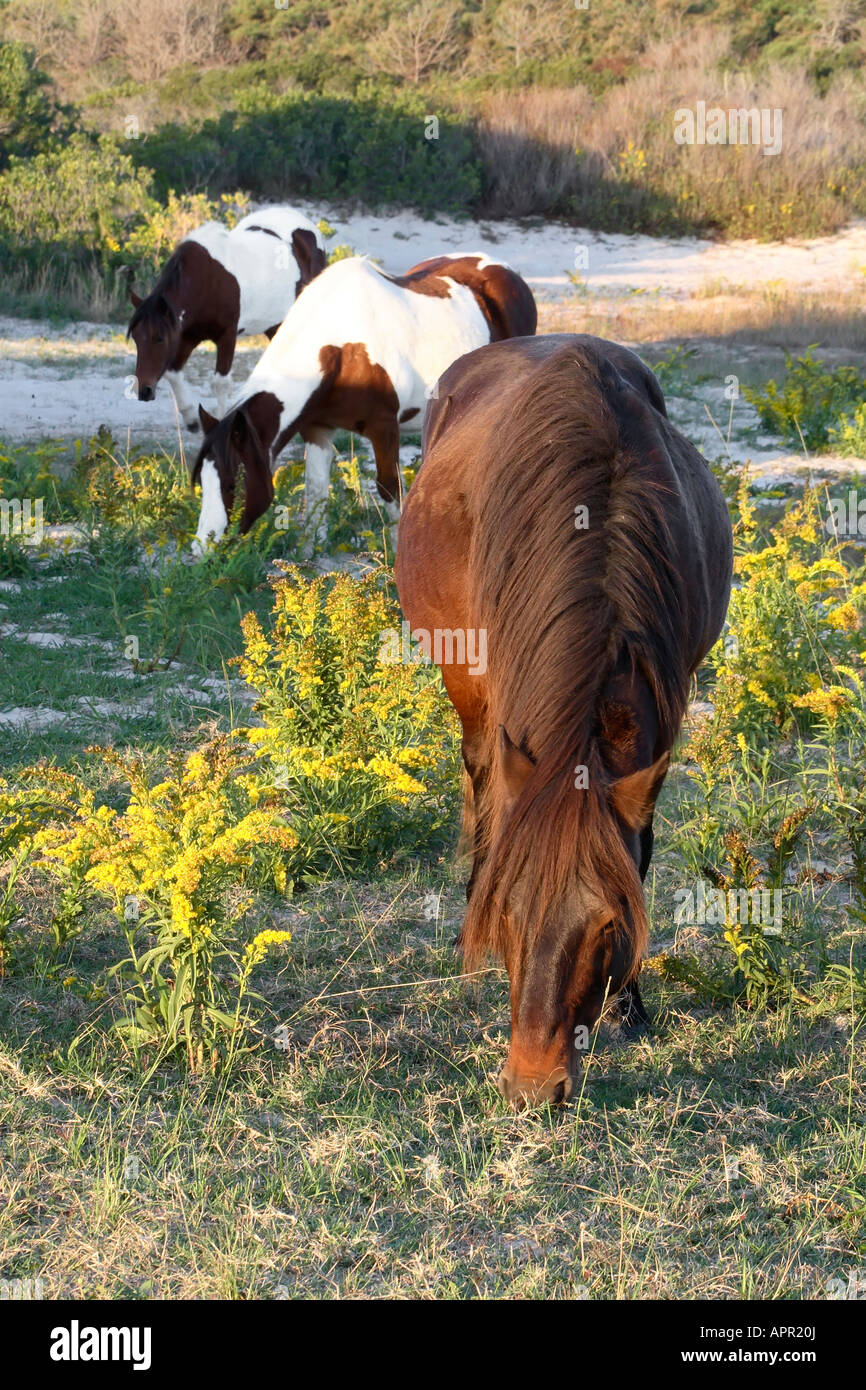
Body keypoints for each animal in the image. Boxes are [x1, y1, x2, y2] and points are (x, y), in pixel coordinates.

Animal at [128, 206, 327, 431]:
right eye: (135, 338)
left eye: (159, 338)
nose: (143, 391)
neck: (206, 281)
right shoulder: (187, 336)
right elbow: (172, 372)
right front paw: (191, 419)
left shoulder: (227, 337)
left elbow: (220, 383)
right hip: (275, 325)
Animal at [190, 252, 537, 554]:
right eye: (202, 481)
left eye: (232, 484)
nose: (202, 547)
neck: (342, 351)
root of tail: (505, 270)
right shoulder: (317, 428)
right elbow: (316, 491)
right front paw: (308, 554)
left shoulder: (384, 428)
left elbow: (389, 490)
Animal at [395, 334, 733, 1108]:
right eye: (508, 916)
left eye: (609, 925)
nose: (533, 1086)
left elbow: (637, 850)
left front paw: (629, 1004)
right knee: (481, 776)